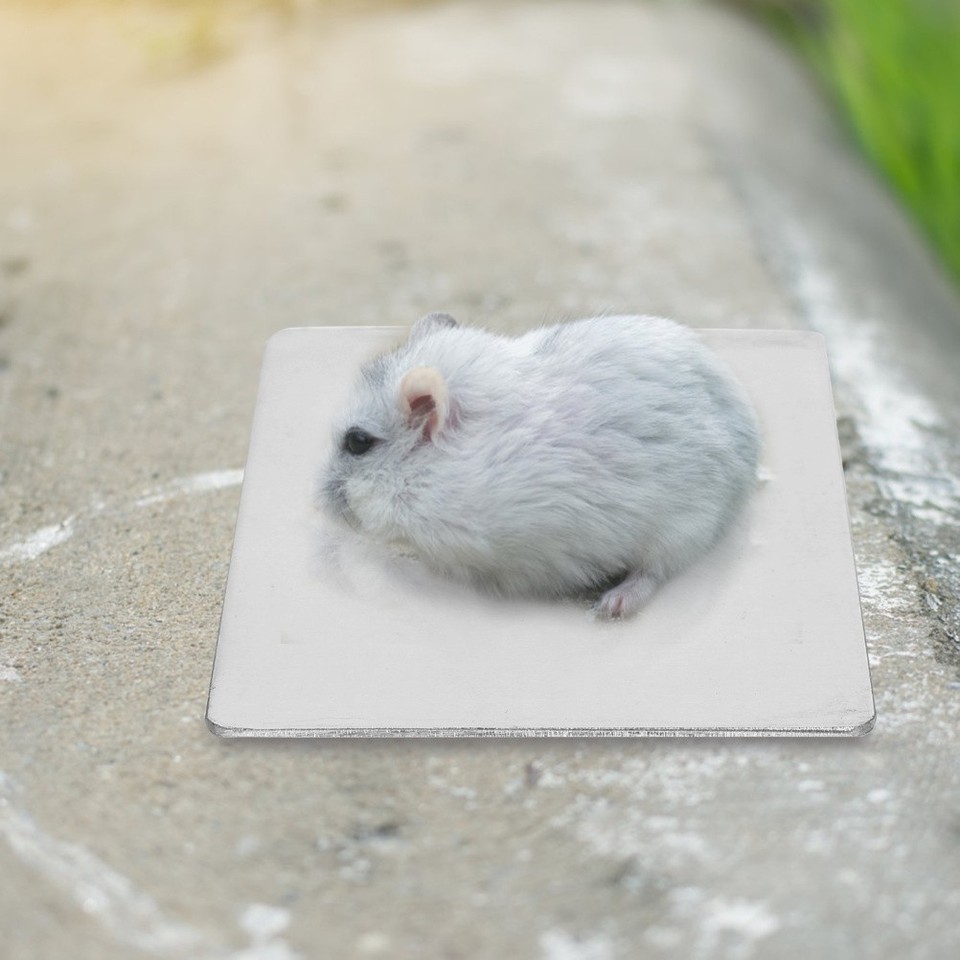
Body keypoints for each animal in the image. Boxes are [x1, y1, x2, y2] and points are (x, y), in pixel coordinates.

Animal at [319, 312, 760, 619]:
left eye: (358, 442)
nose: (319, 503)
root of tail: (753, 449)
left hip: (683, 527)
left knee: (656, 573)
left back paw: (612, 606)